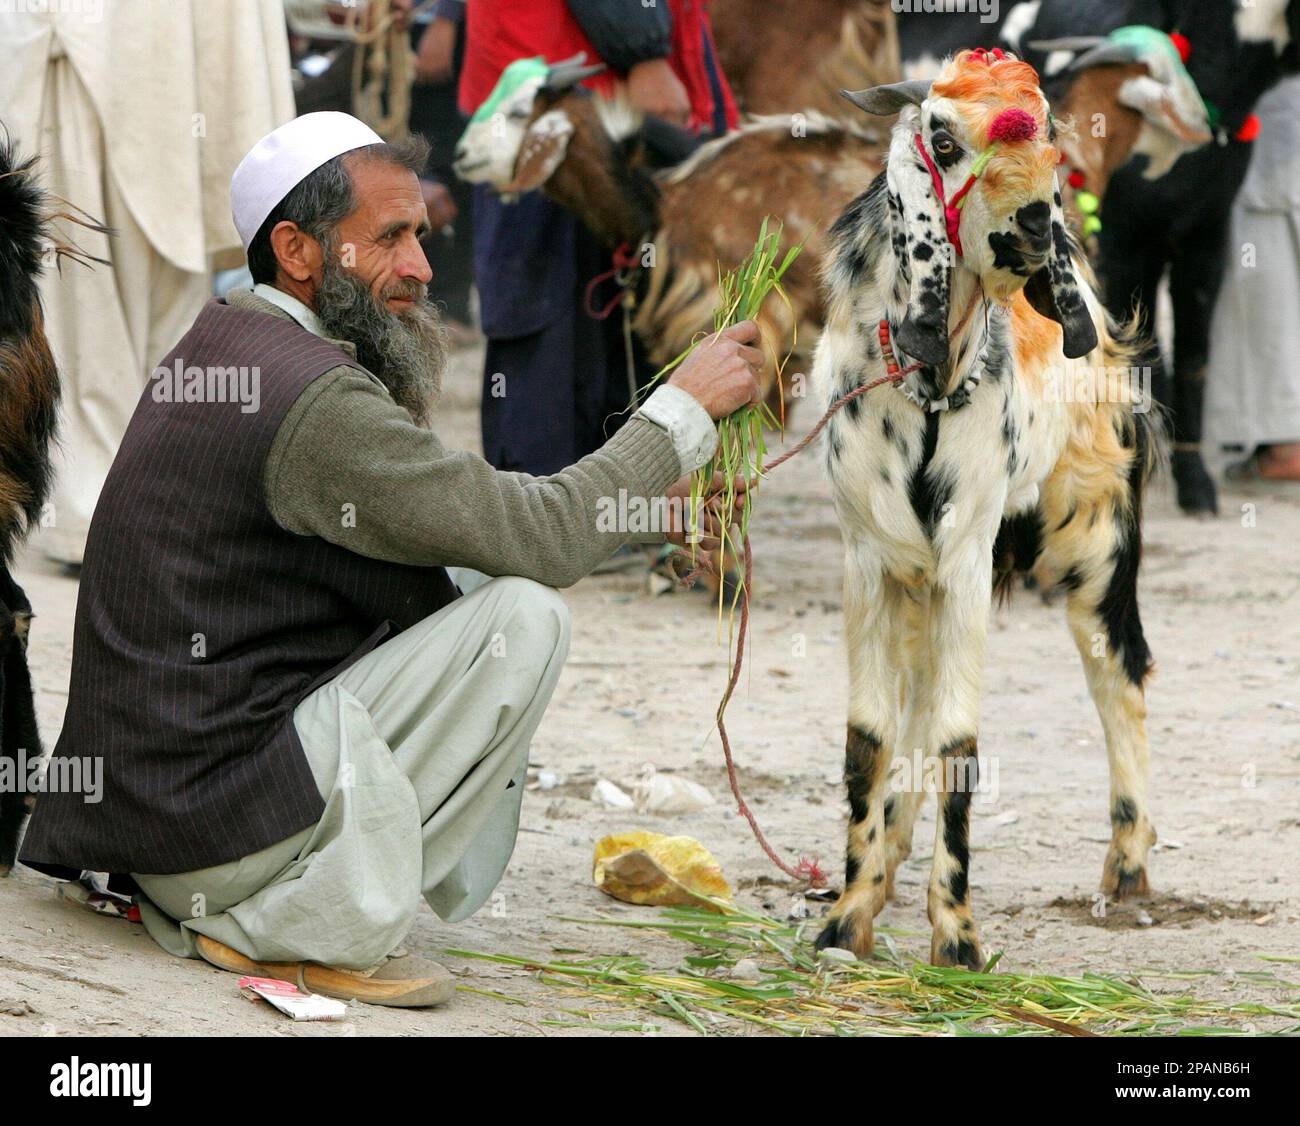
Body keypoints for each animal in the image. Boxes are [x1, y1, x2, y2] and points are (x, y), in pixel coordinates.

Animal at [810, 51, 1161, 968]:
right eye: (940, 137)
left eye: (1047, 129)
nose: (1038, 224)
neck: (931, 385)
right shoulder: (870, 559)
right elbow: (871, 738)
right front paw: (847, 916)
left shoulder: (966, 555)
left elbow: (959, 743)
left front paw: (957, 937)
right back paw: (887, 859)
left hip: (1095, 546)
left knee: (1120, 670)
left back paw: (1129, 864)